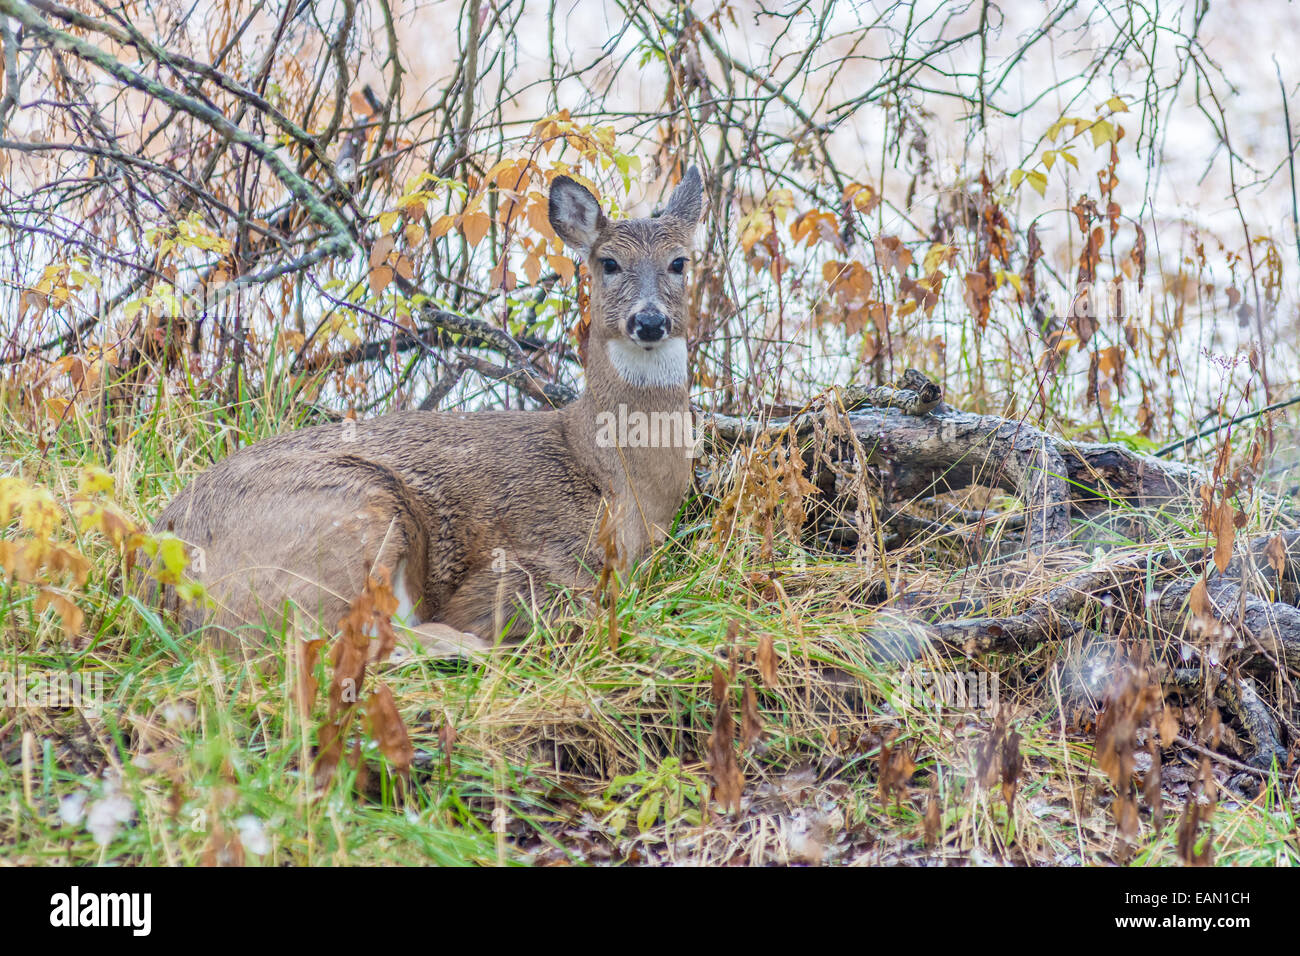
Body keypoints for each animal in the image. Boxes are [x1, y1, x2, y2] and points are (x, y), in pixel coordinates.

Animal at [150, 167, 704, 657]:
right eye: (608, 262)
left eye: (680, 262)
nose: (649, 321)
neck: (614, 474)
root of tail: (158, 571)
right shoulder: (539, 558)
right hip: (351, 513)